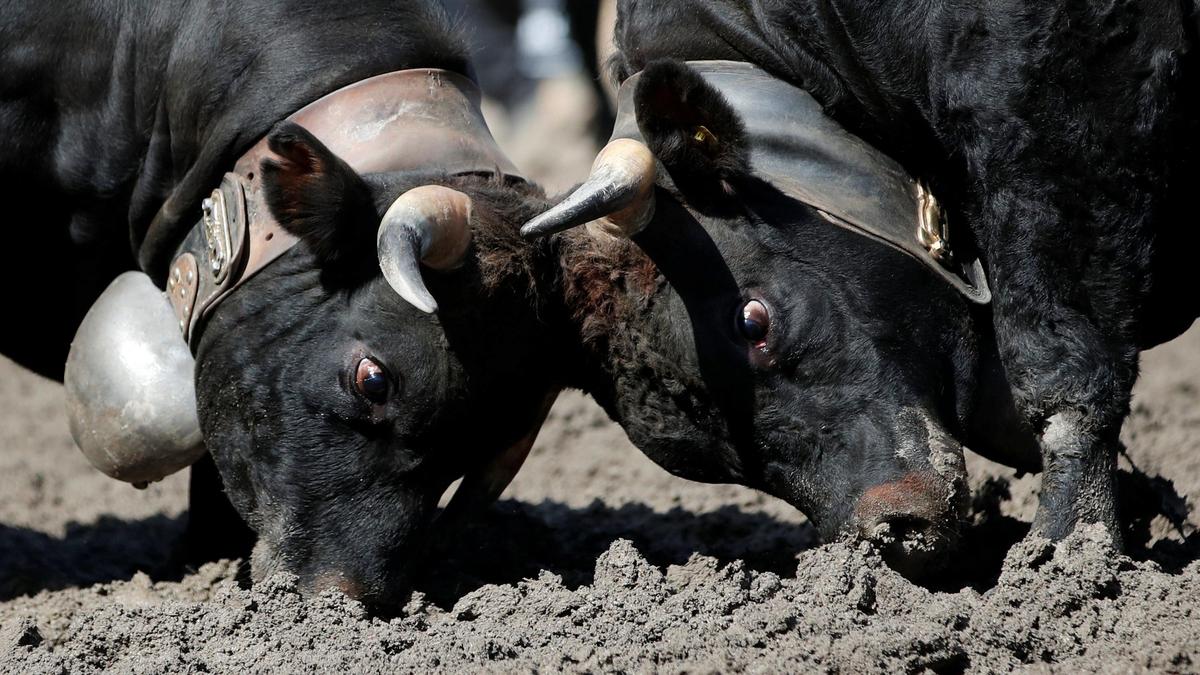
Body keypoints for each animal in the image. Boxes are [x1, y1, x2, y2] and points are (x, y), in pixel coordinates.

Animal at [517, 0, 1200, 575]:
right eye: (710, 457)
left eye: (753, 321)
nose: (889, 530)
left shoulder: (1057, 146)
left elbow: (1061, 370)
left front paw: (1063, 554)